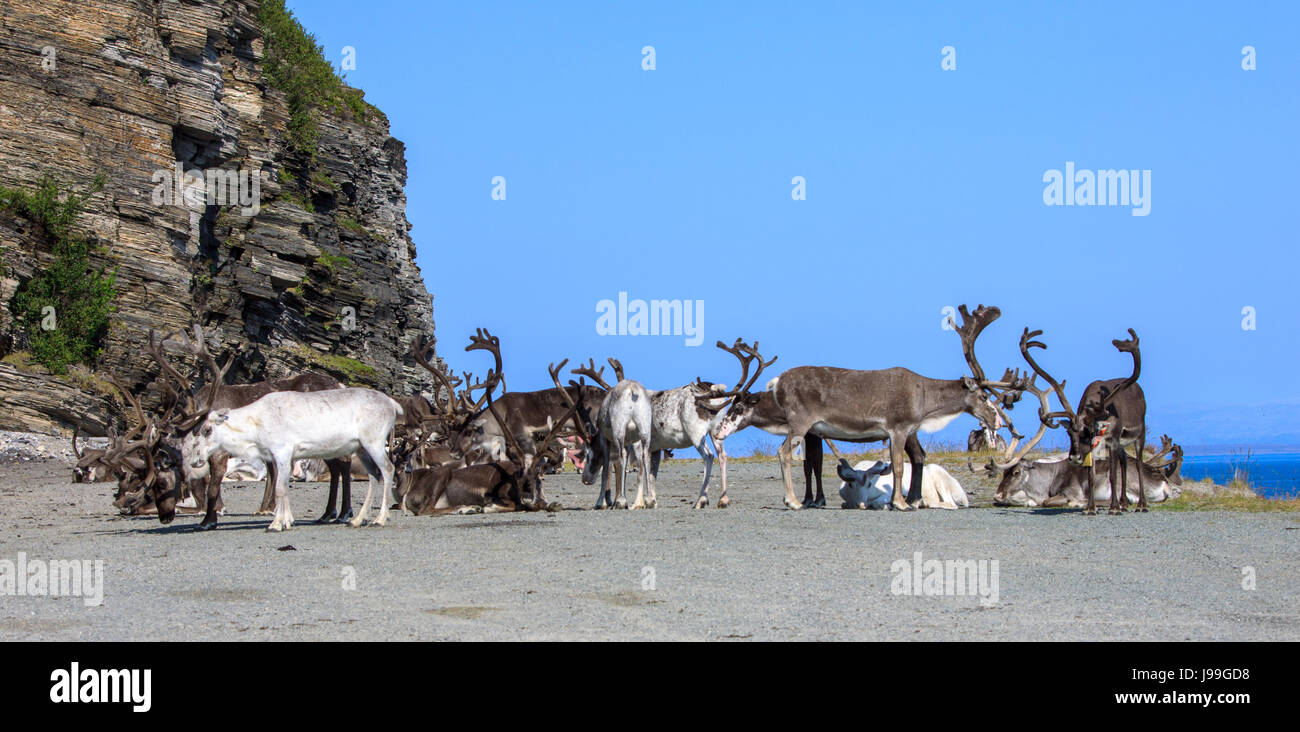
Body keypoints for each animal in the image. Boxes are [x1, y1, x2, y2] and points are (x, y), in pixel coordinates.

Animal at [712, 304, 1024, 510]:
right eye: (984, 397)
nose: (998, 421)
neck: (925, 398)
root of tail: (778, 383)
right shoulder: (897, 428)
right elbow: (897, 466)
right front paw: (899, 503)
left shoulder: (904, 430)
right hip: (800, 422)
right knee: (784, 451)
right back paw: (792, 501)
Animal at [993, 326, 1147, 515]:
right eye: (1069, 432)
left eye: (1090, 432)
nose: (1073, 457)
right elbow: (1090, 475)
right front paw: (1090, 508)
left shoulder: (1112, 439)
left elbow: (1112, 475)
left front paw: (1113, 508)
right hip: (1123, 444)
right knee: (1124, 460)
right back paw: (1124, 503)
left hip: (1139, 434)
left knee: (1138, 464)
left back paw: (1141, 504)